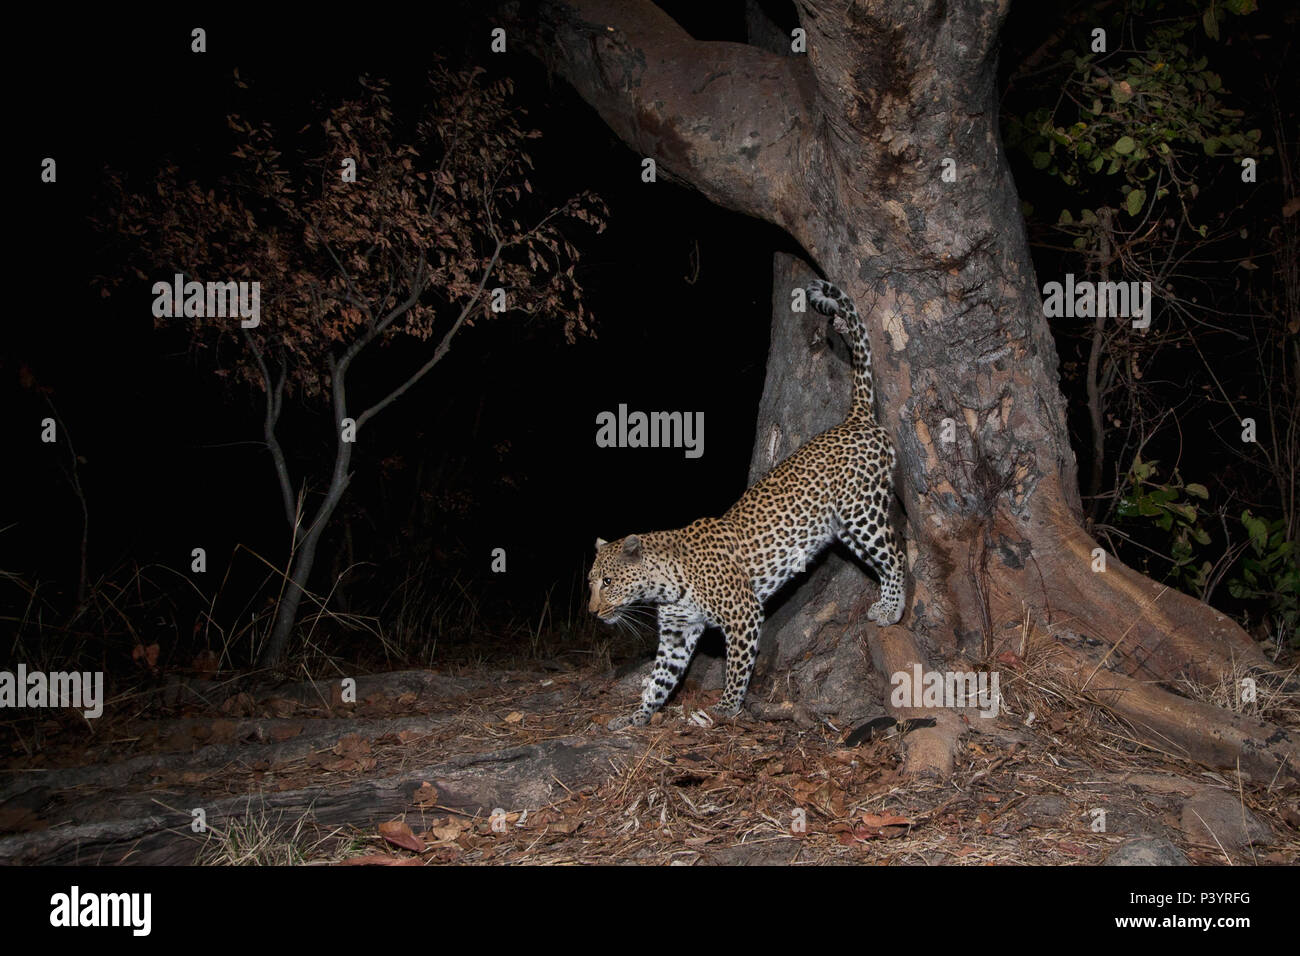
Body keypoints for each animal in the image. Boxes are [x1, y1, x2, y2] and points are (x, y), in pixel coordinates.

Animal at [589, 280, 906, 730]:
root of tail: (854, 419)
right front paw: (635, 717)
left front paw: (726, 707)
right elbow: (659, 681)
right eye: (591, 583)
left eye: (609, 582)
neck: (665, 585)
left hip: (863, 511)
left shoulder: (744, 614)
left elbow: (736, 665)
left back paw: (890, 609)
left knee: (896, 554)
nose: (594, 611)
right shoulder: (676, 634)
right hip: (845, 527)